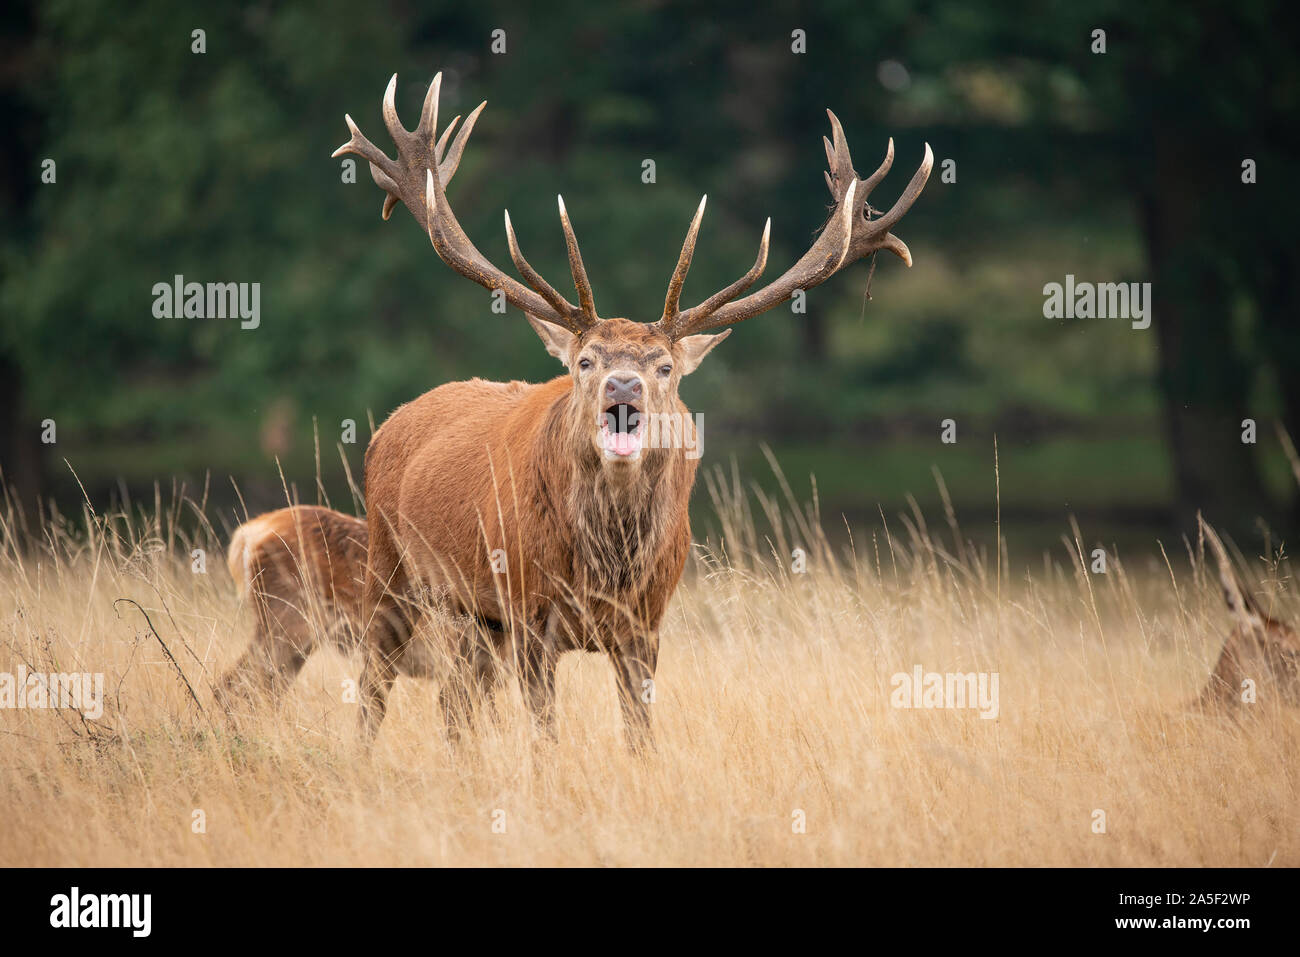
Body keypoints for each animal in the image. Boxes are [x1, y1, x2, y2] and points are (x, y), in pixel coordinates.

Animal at [326, 72, 930, 750]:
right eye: (585, 360)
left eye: (664, 366)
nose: (624, 385)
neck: (607, 567)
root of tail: (389, 425)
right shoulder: (529, 613)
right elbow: (545, 736)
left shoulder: (647, 624)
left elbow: (640, 735)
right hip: (392, 570)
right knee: (376, 690)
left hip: (475, 618)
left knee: (456, 706)